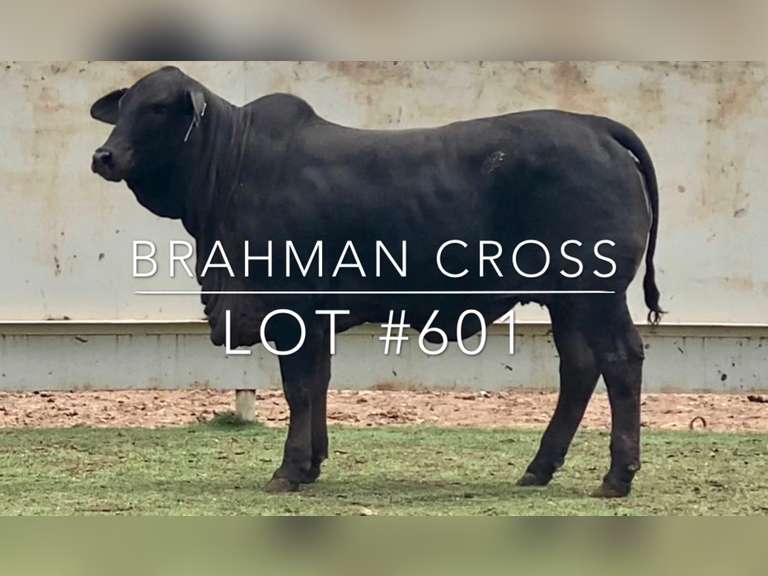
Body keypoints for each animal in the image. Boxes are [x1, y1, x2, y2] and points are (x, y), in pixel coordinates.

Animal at [90, 65, 663, 497]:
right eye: (125, 105)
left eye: (158, 108)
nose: (103, 156)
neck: (231, 167)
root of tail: (594, 126)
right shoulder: (316, 317)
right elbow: (318, 381)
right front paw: (313, 463)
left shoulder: (289, 308)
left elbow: (299, 387)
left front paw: (289, 469)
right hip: (567, 301)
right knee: (580, 367)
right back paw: (539, 468)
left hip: (598, 296)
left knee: (620, 361)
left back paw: (617, 476)